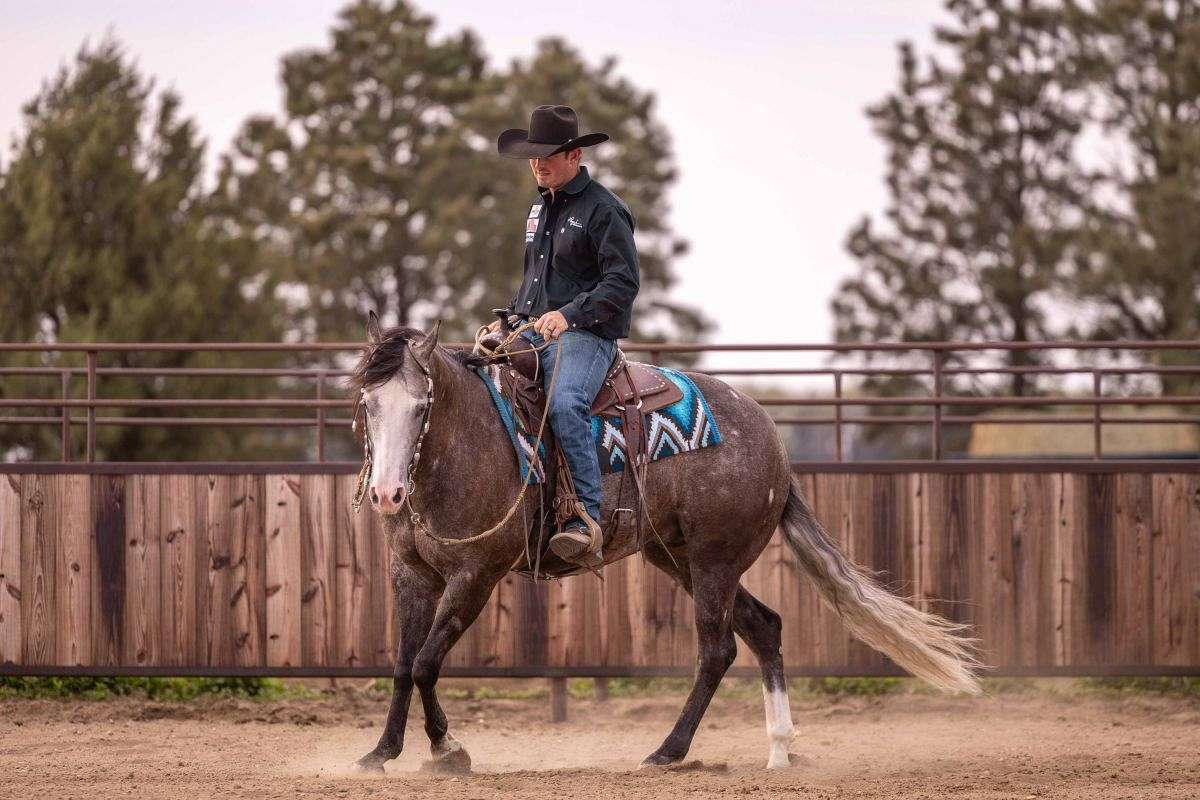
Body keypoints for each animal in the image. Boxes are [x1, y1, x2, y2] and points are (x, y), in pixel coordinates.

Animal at [350, 315, 980, 773]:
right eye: (367, 404)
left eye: (423, 406)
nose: (387, 493)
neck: (471, 442)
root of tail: (773, 439)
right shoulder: (411, 572)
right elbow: (404, 663)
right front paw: (380, 753)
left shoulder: (477, 574)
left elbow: (428, 661)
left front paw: (447, 750)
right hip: (682, 558)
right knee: (765, 627)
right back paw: (779, 747)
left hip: (714, 560)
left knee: (718, 649)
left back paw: (669, 751)